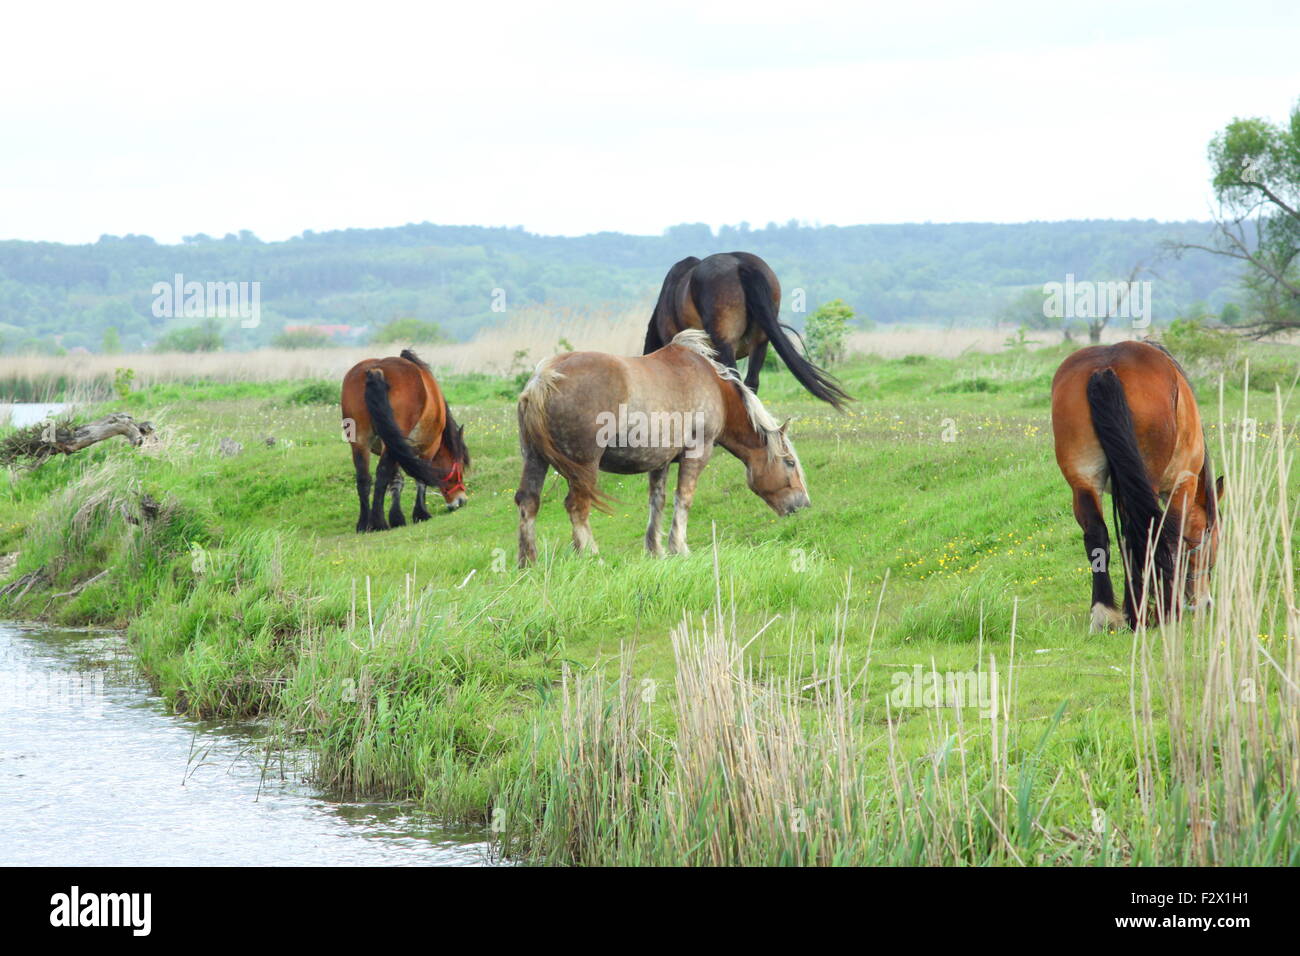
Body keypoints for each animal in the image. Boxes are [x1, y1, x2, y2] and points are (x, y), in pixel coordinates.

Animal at [340, 349, 470, 533]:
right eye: (460, 467)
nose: (461, 500)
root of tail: (375, 370)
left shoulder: (396, 449)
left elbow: (396, 480)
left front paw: (397, 517)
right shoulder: (427, 447)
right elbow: (421, 479)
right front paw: (420, 513)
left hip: (360, 440)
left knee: (364, 478)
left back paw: (364, 524)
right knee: (381, 474)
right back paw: (379, 523)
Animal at [514, 329, 810, 566]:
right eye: (790, 463)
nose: (803, 504)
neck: (713, 385)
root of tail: (542, 379)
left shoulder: (660, 461)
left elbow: (657, 502)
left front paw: (655, 551)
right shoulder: (697, 453)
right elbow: (684, 499)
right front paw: (679, 548)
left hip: (534, 458)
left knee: (528, 502)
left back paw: (529, 562)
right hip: (584, 466)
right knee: (577, 507)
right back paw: (593, 557)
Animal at [1050, 340, 1223, 630]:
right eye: (1212, 535)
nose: (1204, 603)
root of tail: (1105, 369)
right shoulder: (1182, 484)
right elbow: (1172, 540)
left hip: (1084, 483)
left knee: (1098, 535)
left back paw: (1105, 614)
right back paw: (1145, 611)